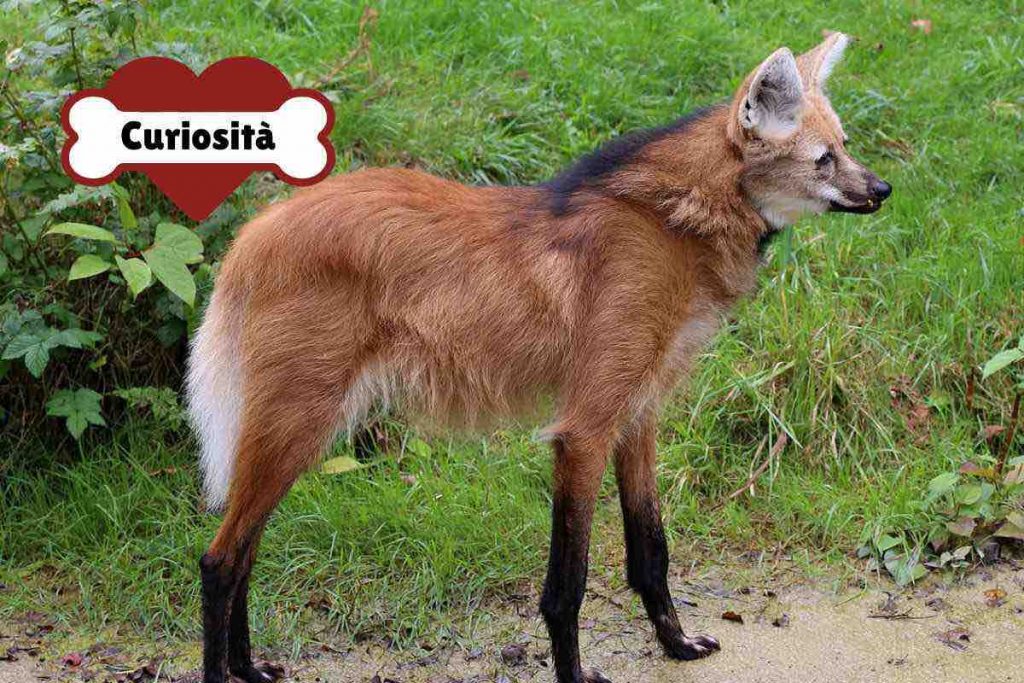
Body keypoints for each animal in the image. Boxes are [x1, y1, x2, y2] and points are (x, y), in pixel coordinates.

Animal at [188, 31, 890, 683]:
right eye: (825, 158)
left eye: (846, 144)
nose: (882, 188)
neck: (673, 221)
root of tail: (254, 232)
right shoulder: (584, 430)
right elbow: (568, 585)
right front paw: (577, 673)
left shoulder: (637, 415)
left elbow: (651, 550)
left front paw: (677, 644)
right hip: (300, 418)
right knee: (220, 559)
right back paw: (227, 666)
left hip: (299, 424)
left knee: (246, 550)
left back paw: (249, 668)